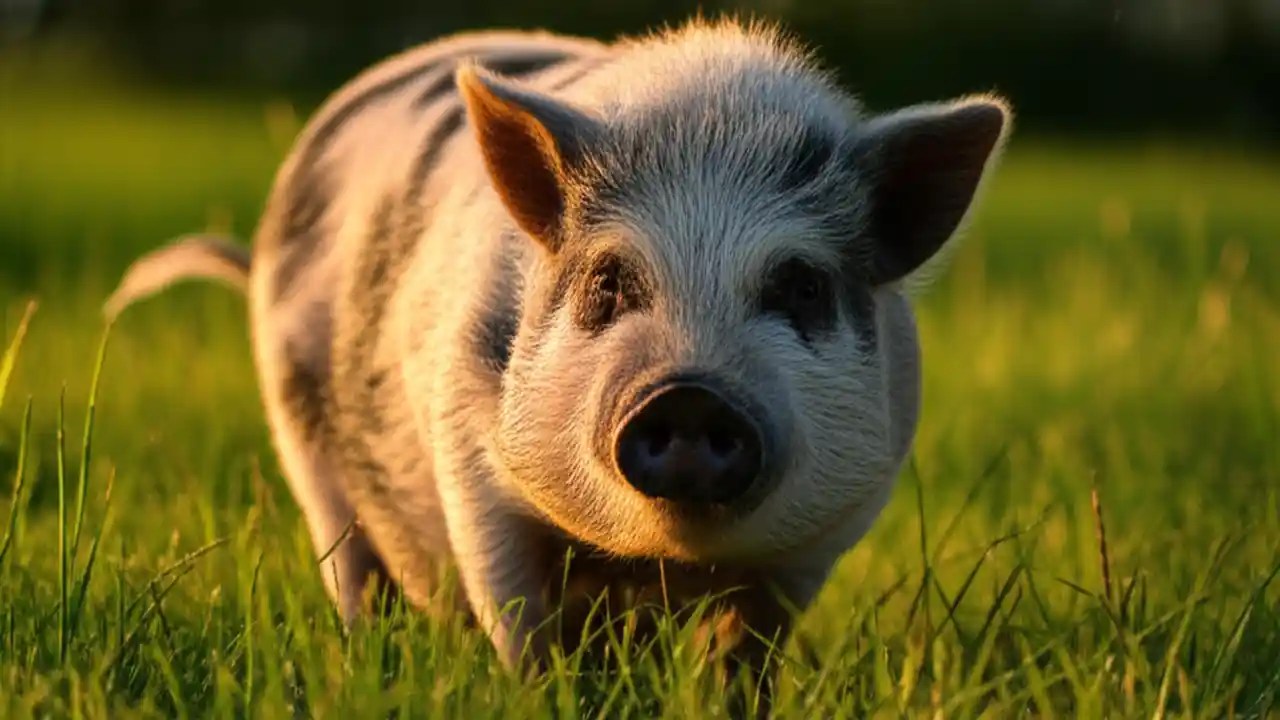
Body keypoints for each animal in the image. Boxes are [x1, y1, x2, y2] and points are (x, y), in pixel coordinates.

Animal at [106, 15, 1010, 700]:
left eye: (801, 287)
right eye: (609, 283)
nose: (689, 395)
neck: (659, 558)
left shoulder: (822, 533)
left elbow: (747, 649)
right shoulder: (472, 461)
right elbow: (518, 620)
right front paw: (548, 694)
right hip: (309, 457)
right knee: (359, 578)